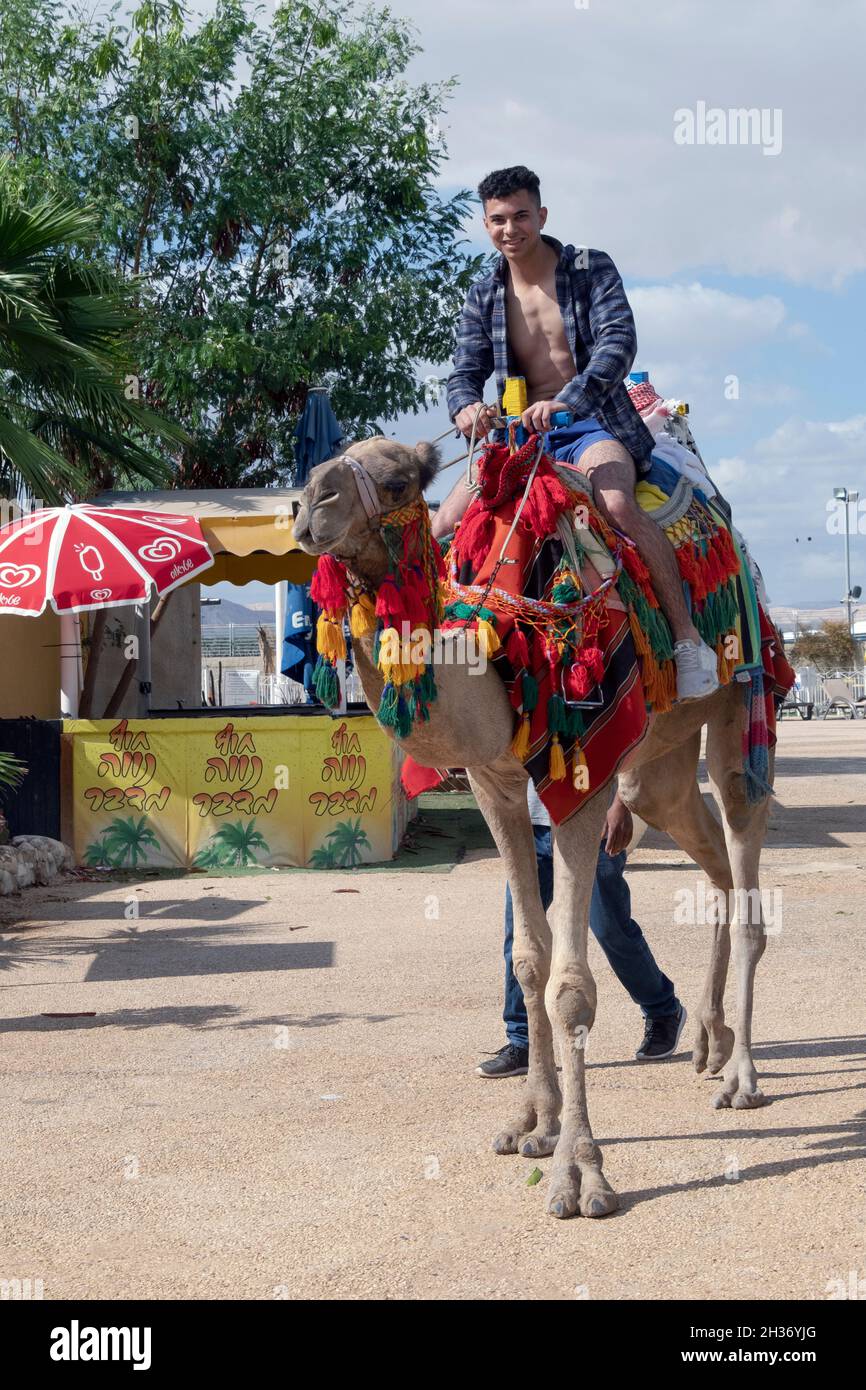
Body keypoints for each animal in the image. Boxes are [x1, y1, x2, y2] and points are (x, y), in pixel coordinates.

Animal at [293, 437, 774, 1220]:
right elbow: (529, 958)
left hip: (743, 701)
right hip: (658, 770)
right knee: (715, 867)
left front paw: (581, 1176)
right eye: (318, 471)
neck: (497, 653)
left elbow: (571, 986)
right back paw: (707, 1042)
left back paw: (742, 1077)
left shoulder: (582, 779)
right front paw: (534, 1126)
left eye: (398, 479)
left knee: (745, 853)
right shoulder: (494, 782)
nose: (308, 508)